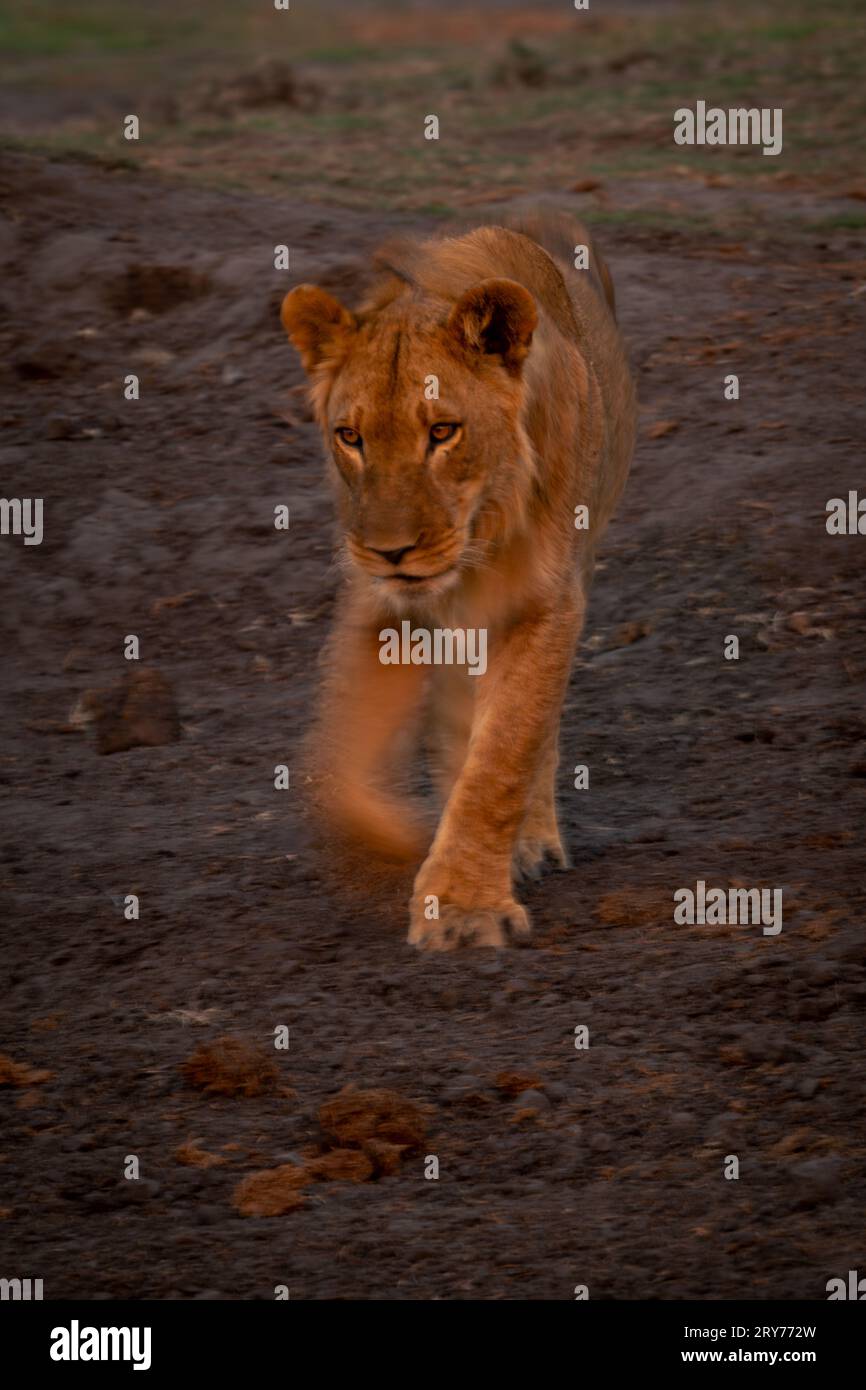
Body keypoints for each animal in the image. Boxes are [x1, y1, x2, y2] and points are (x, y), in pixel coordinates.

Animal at [280, 210, 636, 950]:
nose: (391, 551)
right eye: (350, 437)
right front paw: (400, 843)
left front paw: (466, 906)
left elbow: (504, 755)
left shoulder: (548, 603)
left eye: (443, 432)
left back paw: (531, 841)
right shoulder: (379, 609)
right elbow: (336, 764)